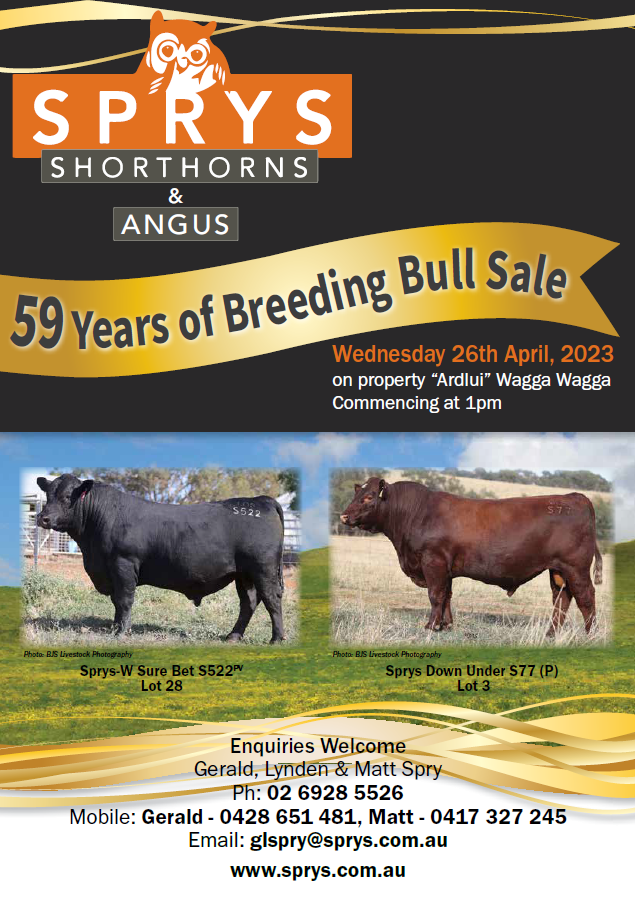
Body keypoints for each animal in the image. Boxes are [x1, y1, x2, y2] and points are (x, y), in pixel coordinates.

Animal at [35, 474, 285, 643]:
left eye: (67, 496)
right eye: (48, 495)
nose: (43, 518)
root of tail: (261, 500)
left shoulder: (123, 564)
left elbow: (124, 600)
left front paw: (121, 632)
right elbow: (116, 601)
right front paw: (114, 627)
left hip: (263, 569)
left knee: (272, 599)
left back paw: (276, 639)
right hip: (243, 574)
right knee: (249, 603)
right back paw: (233, 635)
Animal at [340, 477, 603, 636]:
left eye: (368, 497)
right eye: (356, 495)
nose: (344, 516)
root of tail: (576, 496)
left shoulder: (433, 561)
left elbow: (435, 595)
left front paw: (429, 626)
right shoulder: (446, 568)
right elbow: (447, 596)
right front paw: (446, 626)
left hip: (575, 566)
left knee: (585, 598)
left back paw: (591, 634)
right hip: (557, 569)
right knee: (561, 599)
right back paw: (550, 634)